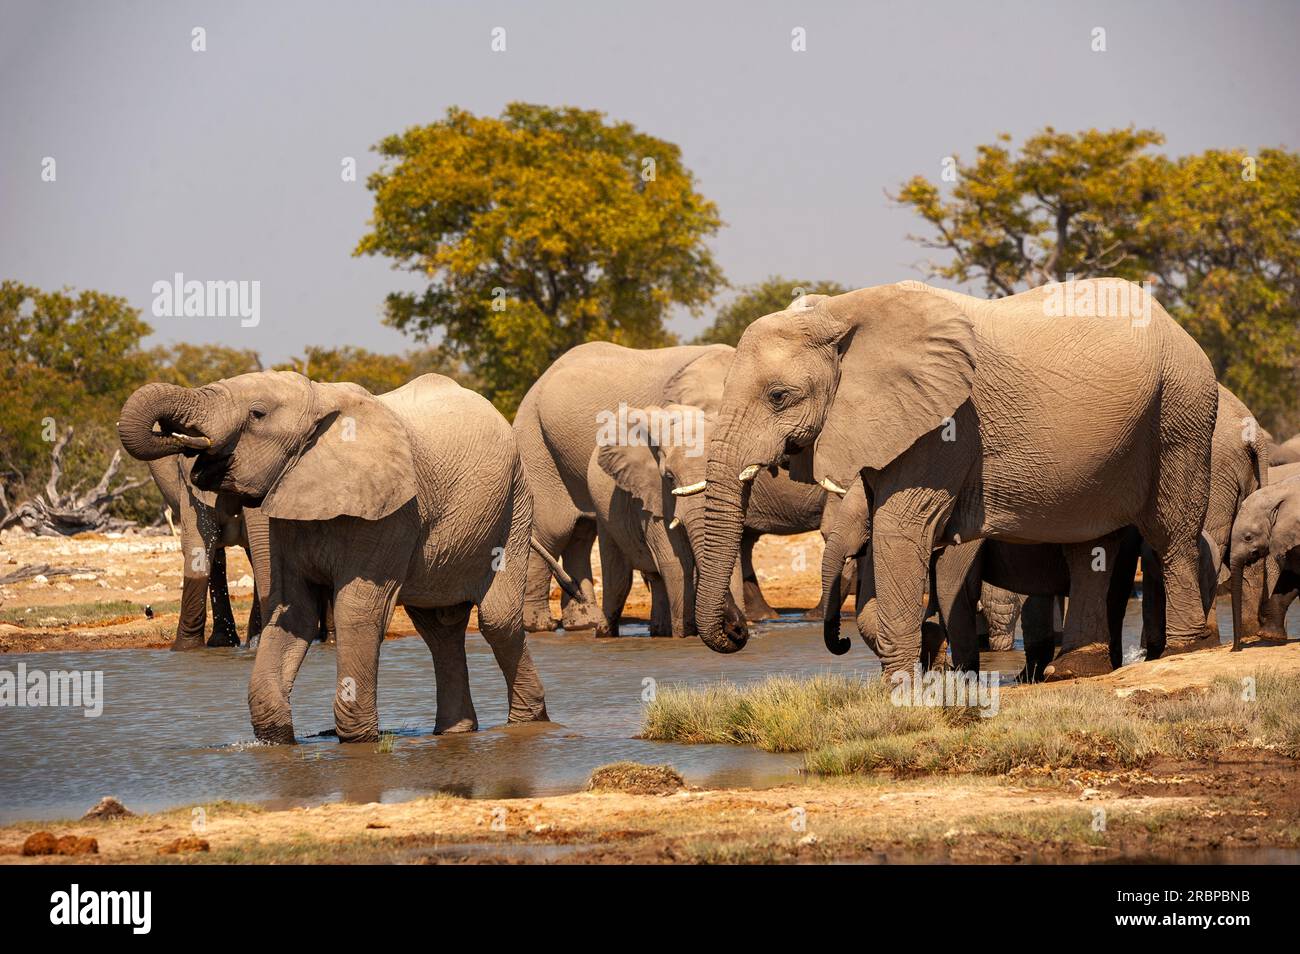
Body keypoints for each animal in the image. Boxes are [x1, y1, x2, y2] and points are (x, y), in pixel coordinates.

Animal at [118, 371, 549, 743]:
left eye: (257, 413)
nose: (184, 442)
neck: (320, 399)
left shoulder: (392, 512)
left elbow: (357, 610)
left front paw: (359, 742)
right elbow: (293, 611)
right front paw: (278, 740)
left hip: (514, 506)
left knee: (496, 620)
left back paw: (530, 726)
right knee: (439, 628)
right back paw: (455, 733)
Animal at [688, 279, 1218, 681]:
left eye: (778, 396)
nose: (738, 633)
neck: (840, 312)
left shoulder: (946, 424)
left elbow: (900, 530)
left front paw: (900, 693)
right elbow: (887, 536)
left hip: (1180, 408)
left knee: (1169, 532)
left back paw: (1181, 650)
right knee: (1090, 546)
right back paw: (1074, 669)